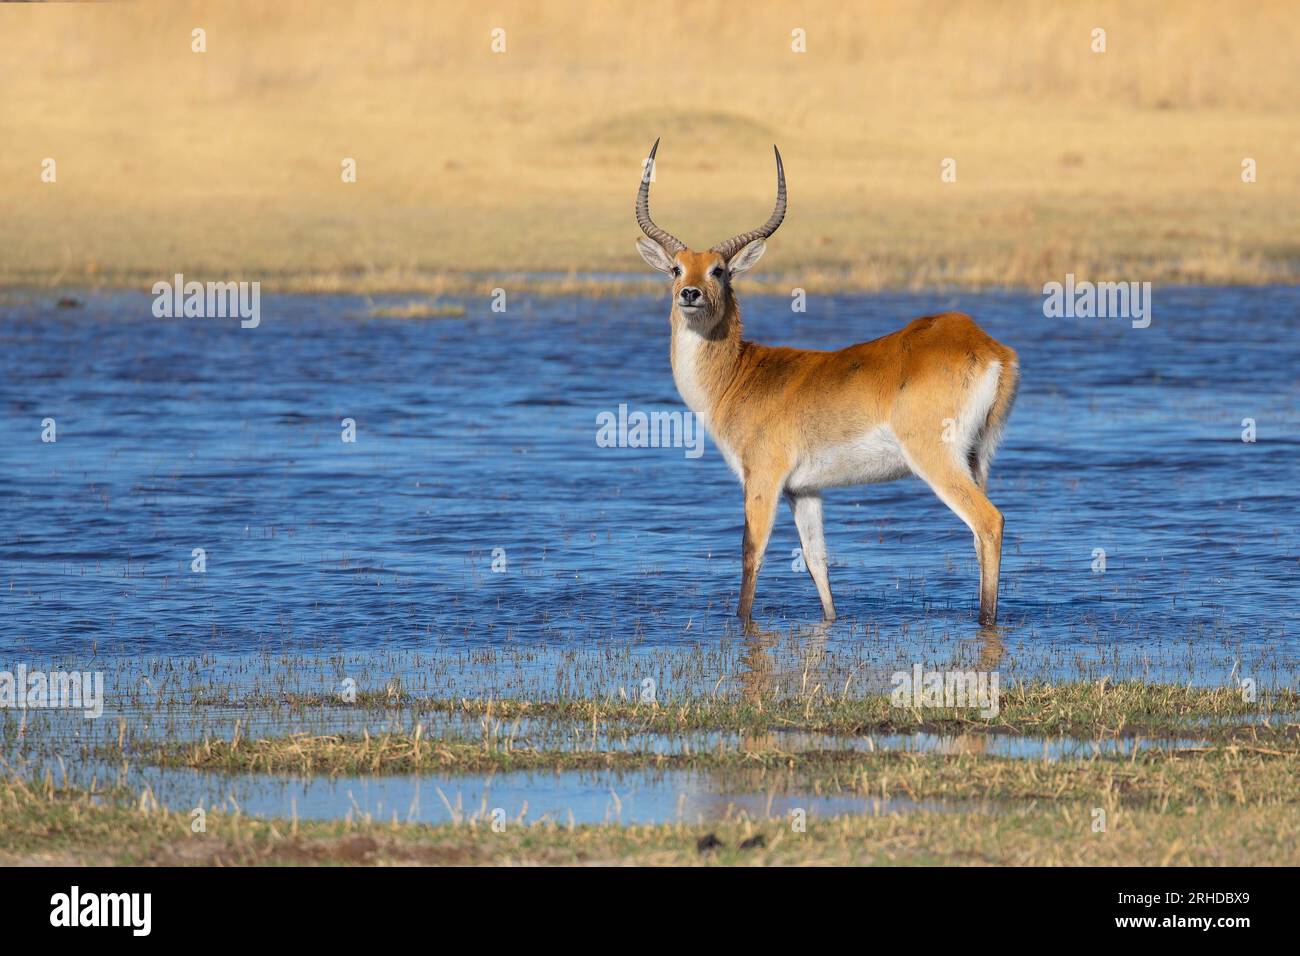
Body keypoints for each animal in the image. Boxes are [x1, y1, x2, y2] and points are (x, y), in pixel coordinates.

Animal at [634, 140, 1019, 626]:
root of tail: (986, 345)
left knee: (989, 522)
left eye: (719, 270)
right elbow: (818, 561)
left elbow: (751, 554)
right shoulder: (805, 490)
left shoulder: (763, 476)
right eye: (676, 269)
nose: (691, 294)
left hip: (936, 458)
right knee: (978, 534)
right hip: (977, 459)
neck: (740, 375)